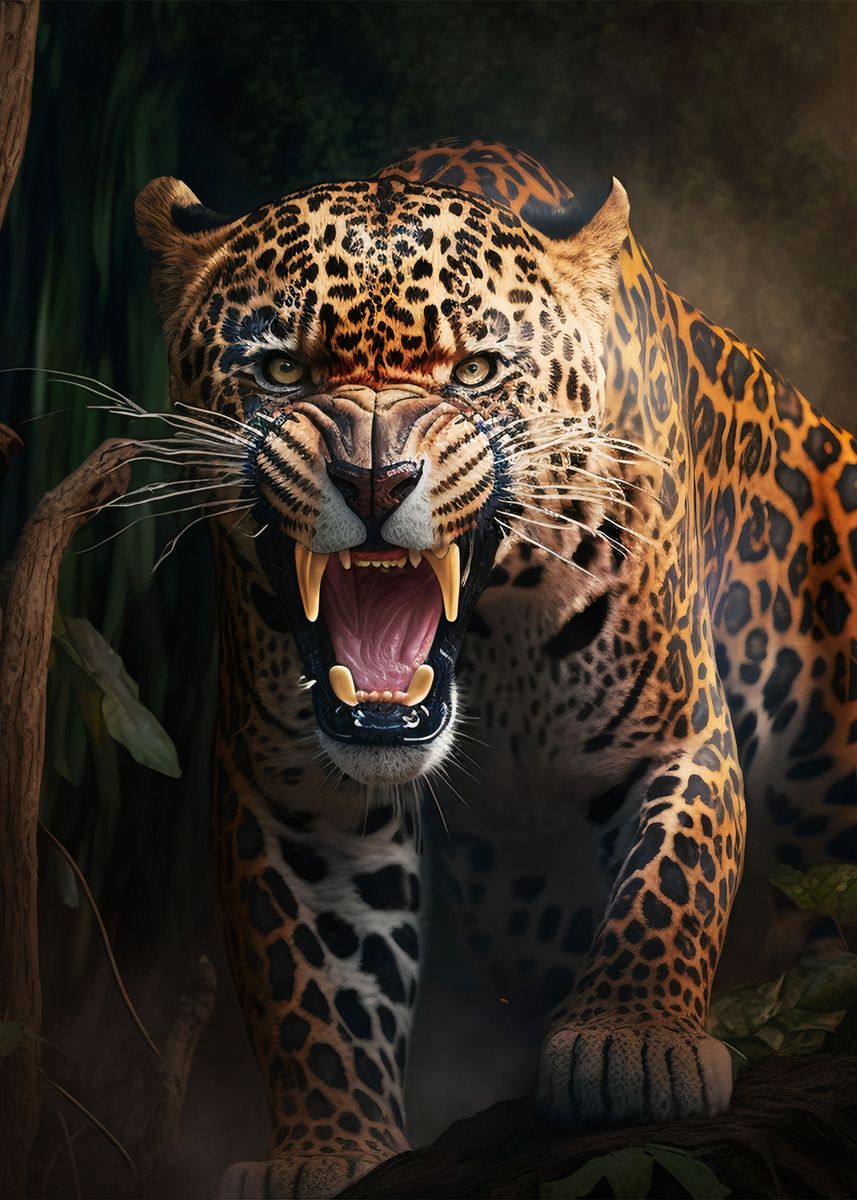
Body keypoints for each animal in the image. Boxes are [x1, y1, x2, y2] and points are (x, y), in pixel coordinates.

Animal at [134, 138, 857, 1199]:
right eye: (281, 368)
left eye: (473, 371)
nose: (374, 480)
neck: (493, 645)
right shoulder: (297, 793)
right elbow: (310, 980)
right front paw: (323, 1150)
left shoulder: (675, 732)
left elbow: (670, 880)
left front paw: (632, 1042)